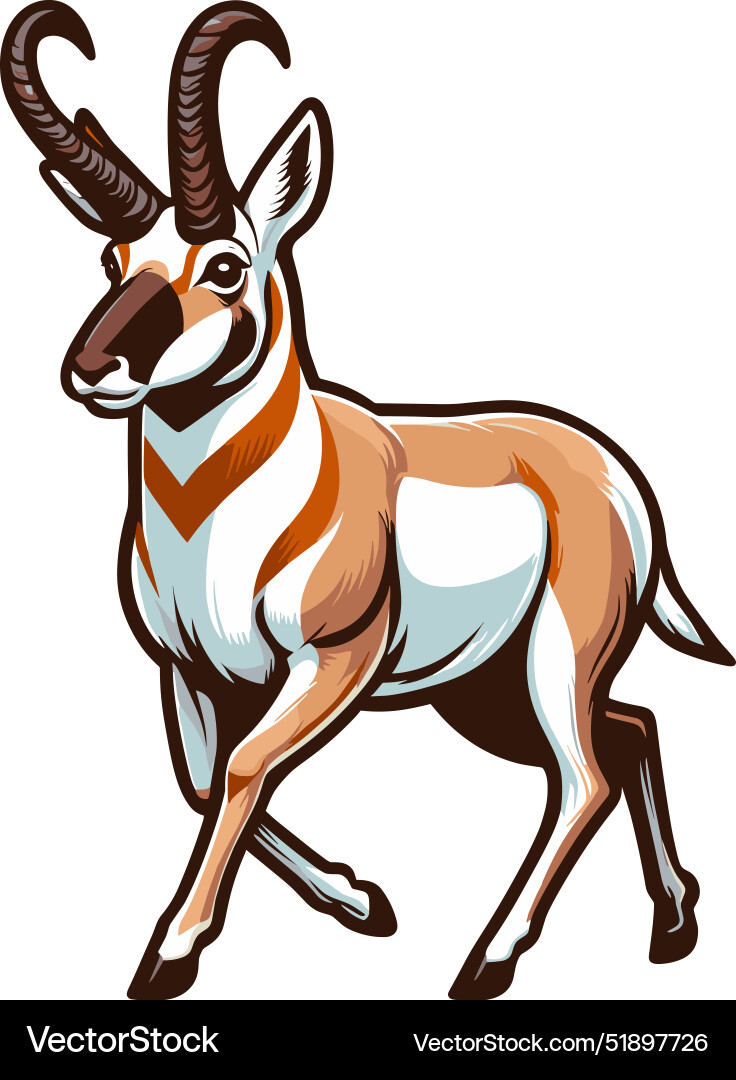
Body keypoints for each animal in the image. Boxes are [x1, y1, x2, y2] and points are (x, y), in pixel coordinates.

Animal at [3, 1, 732, 1002]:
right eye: (112, 259)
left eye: (225, 264)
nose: (91, 367)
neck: (218, 517)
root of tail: (606, 467)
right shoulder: (189, 674)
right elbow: (207, 781)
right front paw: (363, 903)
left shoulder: (331, 662)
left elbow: (246, 767)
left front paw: (169, 956)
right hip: (487, 692)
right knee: (630, 731)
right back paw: (672, 926)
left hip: (552, 664)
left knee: (583, 776)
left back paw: (487, 962)